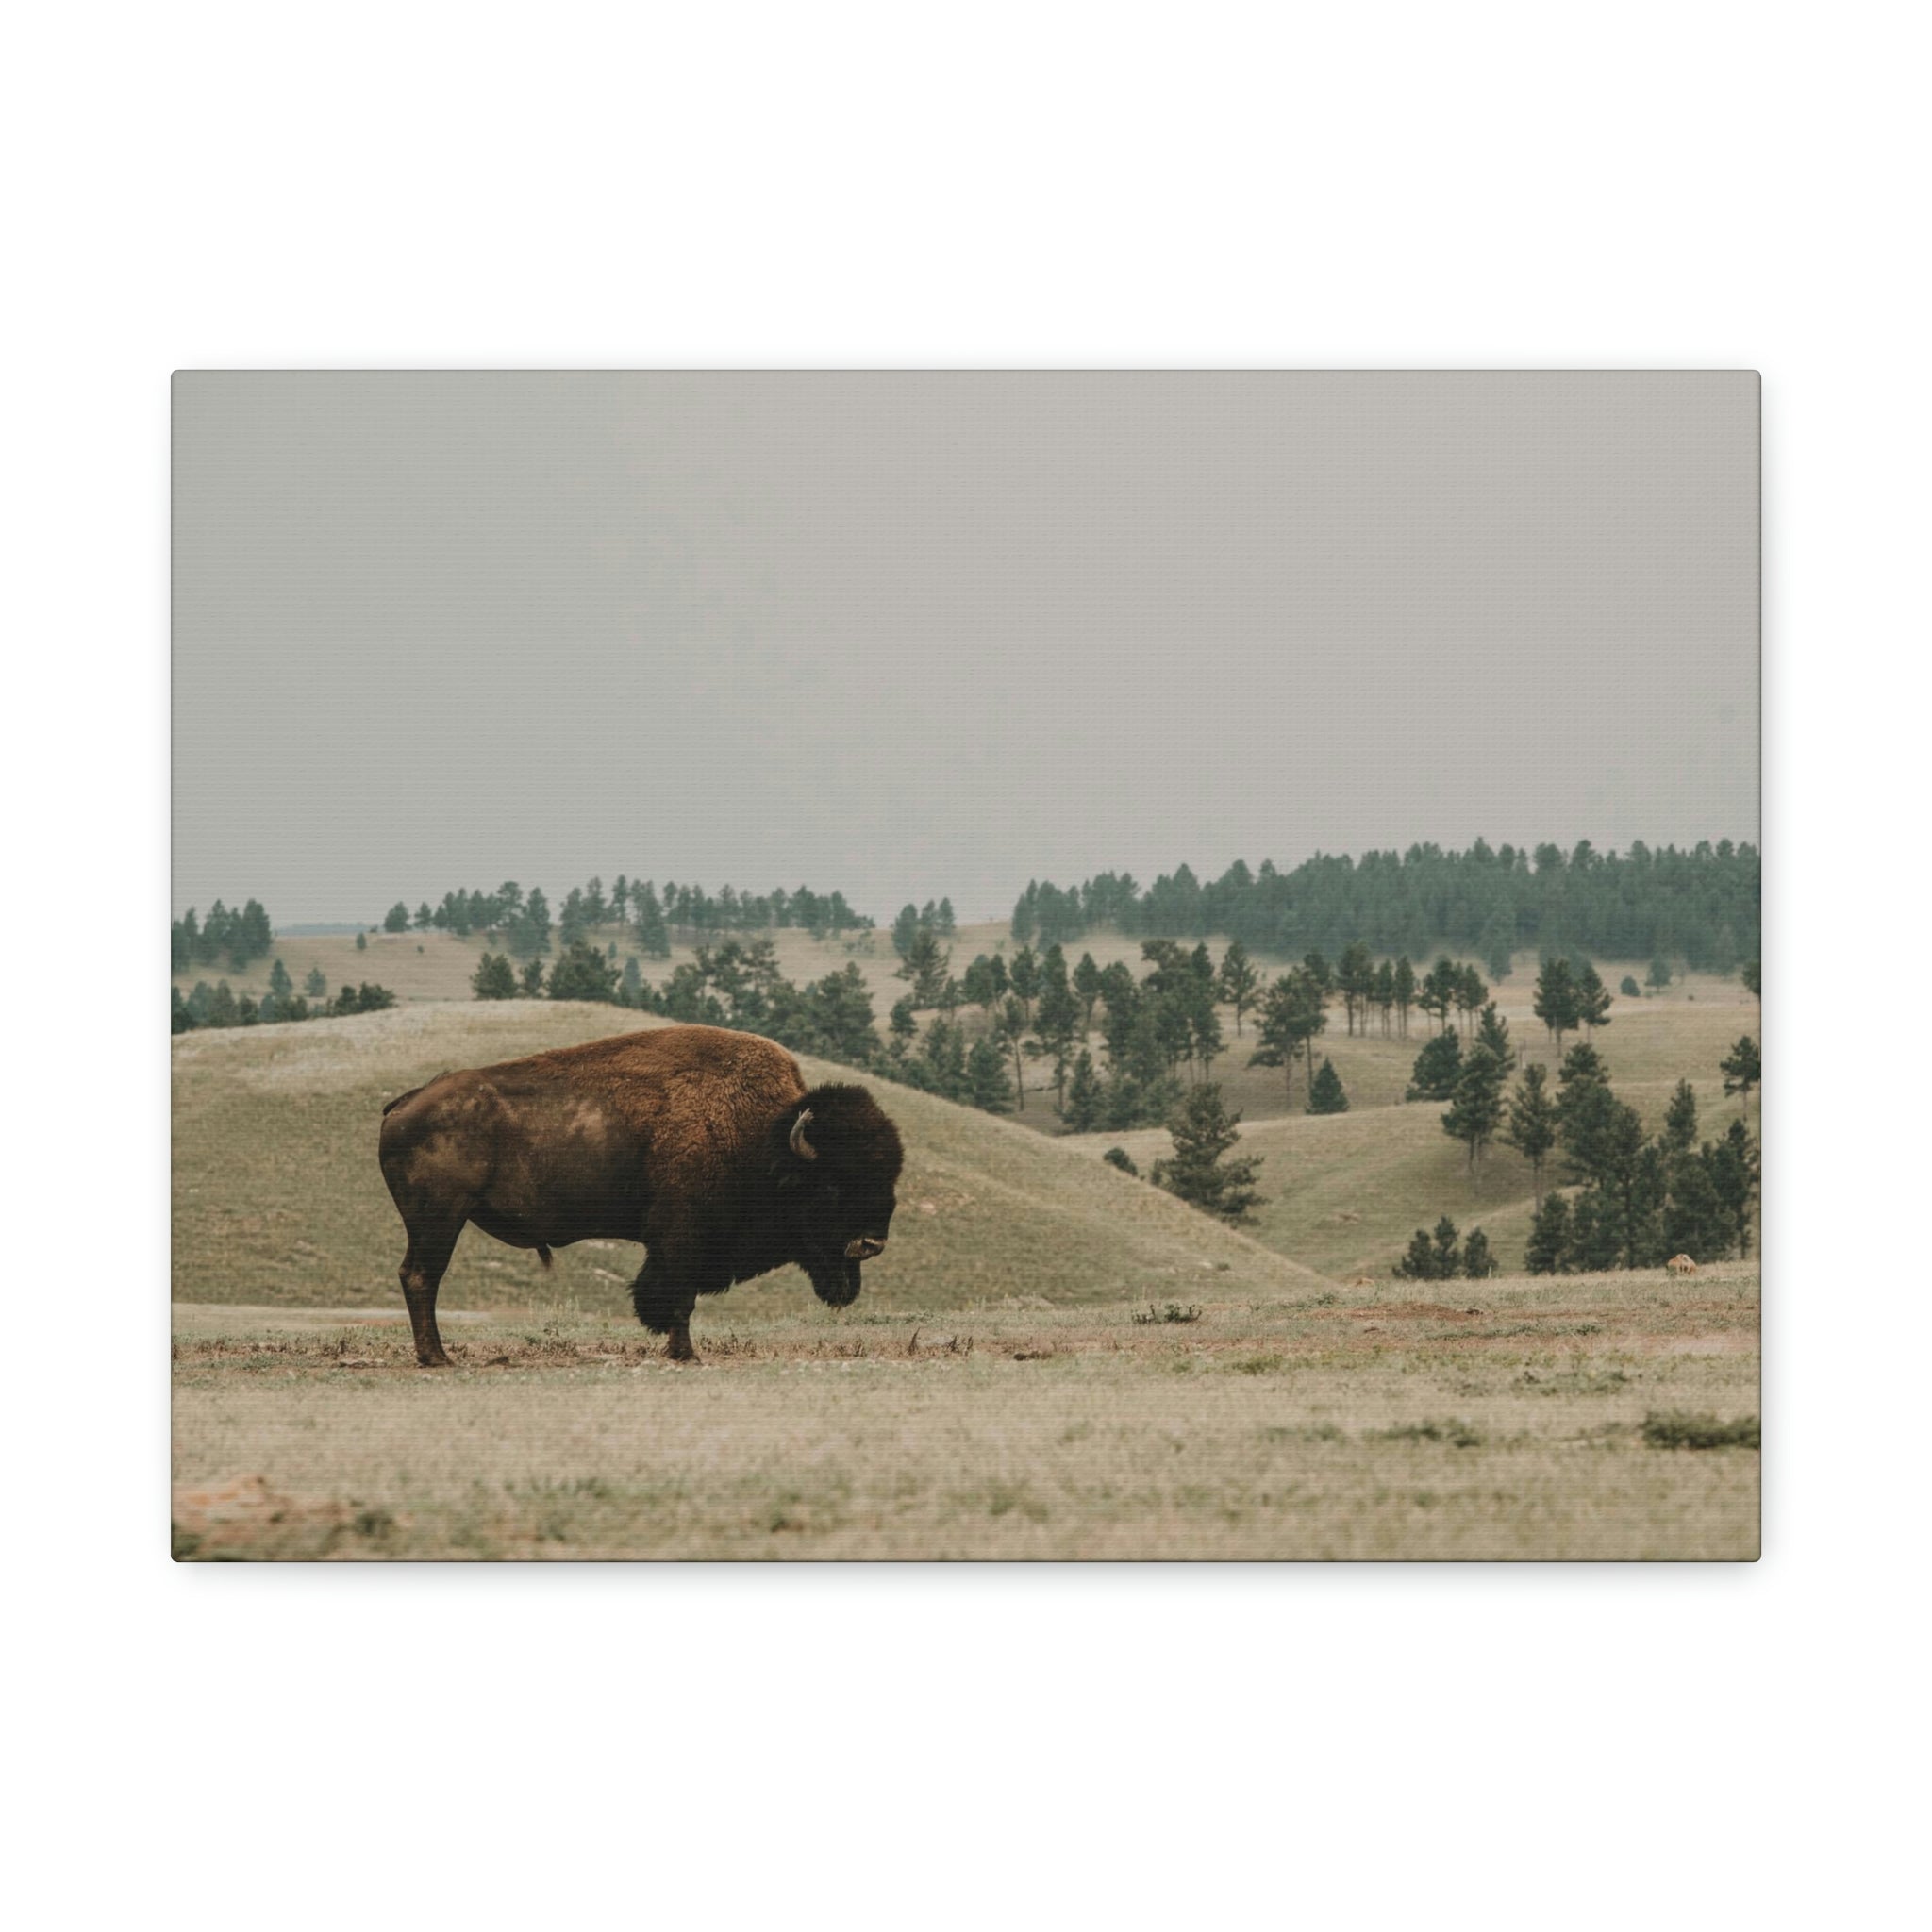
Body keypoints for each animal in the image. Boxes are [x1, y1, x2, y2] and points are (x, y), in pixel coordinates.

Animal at [377, 1025, 904, 1365]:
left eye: (889, 1179)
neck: (763, 1137)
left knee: (416, 1275)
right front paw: (685, 1354)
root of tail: (405, 1102)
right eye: (832, 1185)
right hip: (439, 1218)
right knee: (422, 1276)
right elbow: (678, 1298)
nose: (871, 1243)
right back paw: (437, 1357)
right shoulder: (681, 1240)